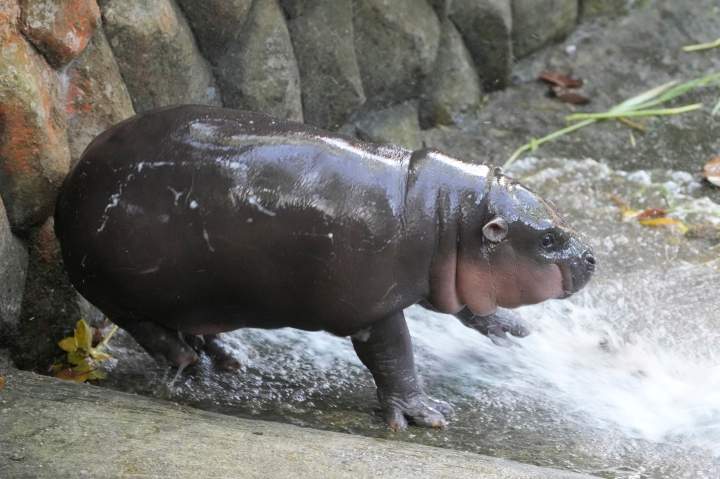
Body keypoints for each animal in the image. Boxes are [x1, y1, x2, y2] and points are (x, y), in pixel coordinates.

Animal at [54, 105, 595, 430]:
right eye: (548, 238)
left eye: (558, 219)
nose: (592, 256)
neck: (448, 213)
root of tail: (71, 179)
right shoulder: (372, 308)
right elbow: (395, 357)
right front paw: (423, 414)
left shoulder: (440, 275)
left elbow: (461, 305)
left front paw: (507, 327)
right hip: (114, 290)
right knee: (149, 331)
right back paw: (192, 366)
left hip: (194, 297)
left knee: (189, 326)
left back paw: (228, 357)